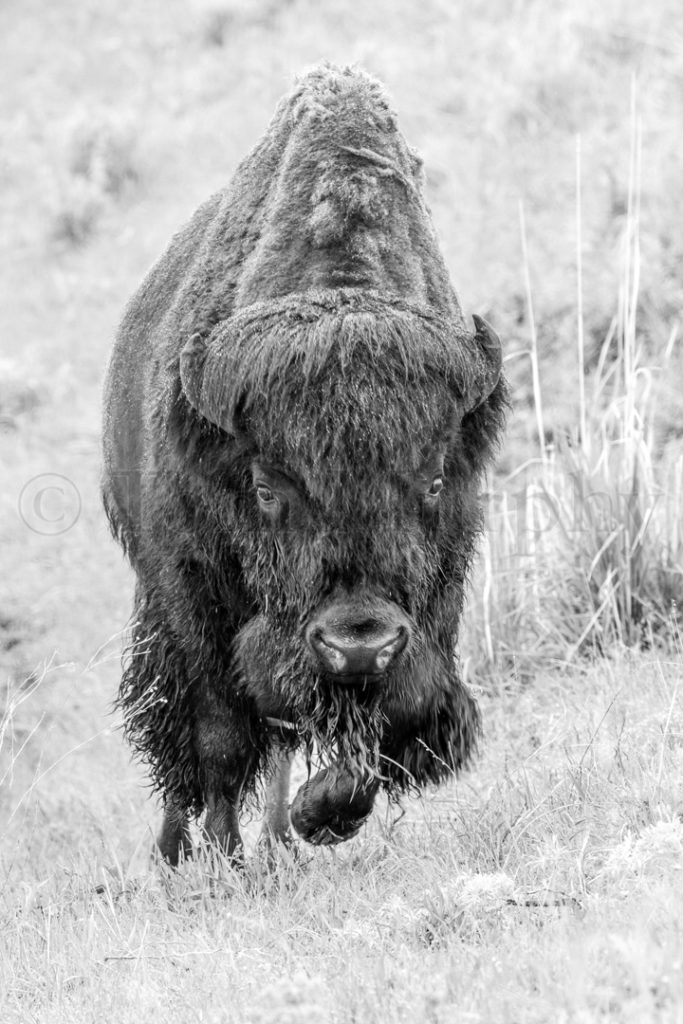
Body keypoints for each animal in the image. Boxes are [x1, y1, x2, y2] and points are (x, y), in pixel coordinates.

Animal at [102, 63, 507, 865]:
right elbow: (221, 738)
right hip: (160, 608)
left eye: (433, 479)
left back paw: (280, 837)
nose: (359, 642)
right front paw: (227, 860)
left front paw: (321, 816)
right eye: (266, 487)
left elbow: (384, 727)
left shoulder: (432, 605)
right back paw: (183, 852)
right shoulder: (195, 599)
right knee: (184, 742)